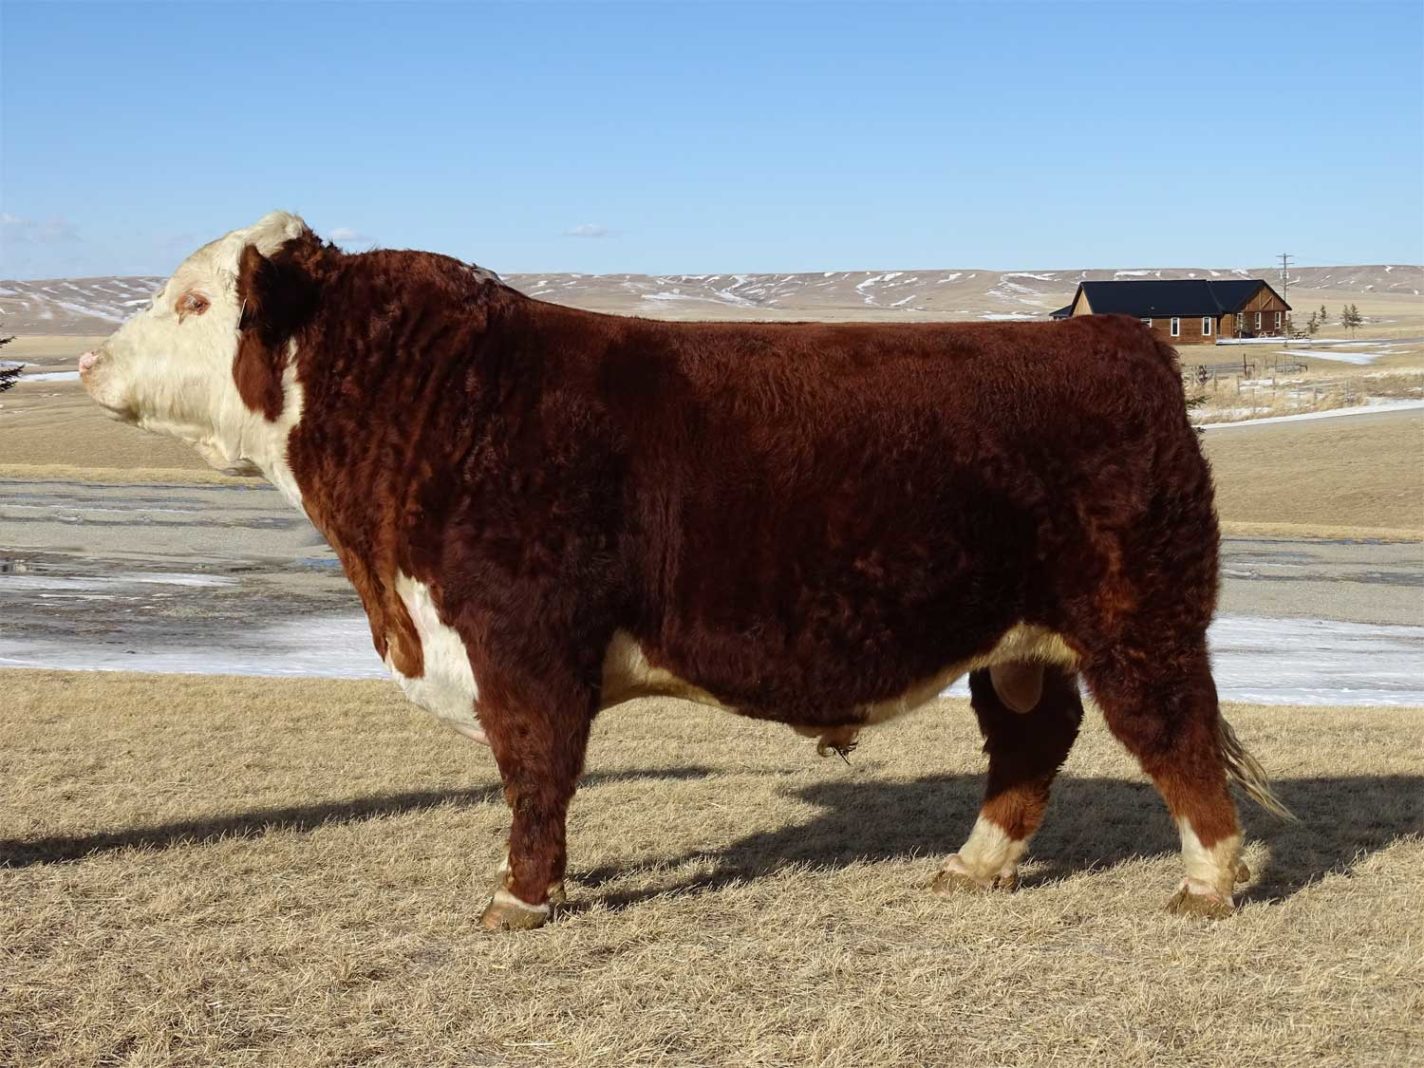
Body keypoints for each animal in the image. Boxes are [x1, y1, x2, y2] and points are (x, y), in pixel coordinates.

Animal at [80, 212, 1289, 931]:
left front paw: (519, 902)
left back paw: (1207, 883)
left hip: (1138, 621)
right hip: (1017, 642)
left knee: (1174, 734)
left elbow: (536, 776)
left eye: (196, 303)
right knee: (1032, 743)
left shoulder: (526, 647)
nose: (89, 361)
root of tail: (1118, 343)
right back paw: (972, 866)